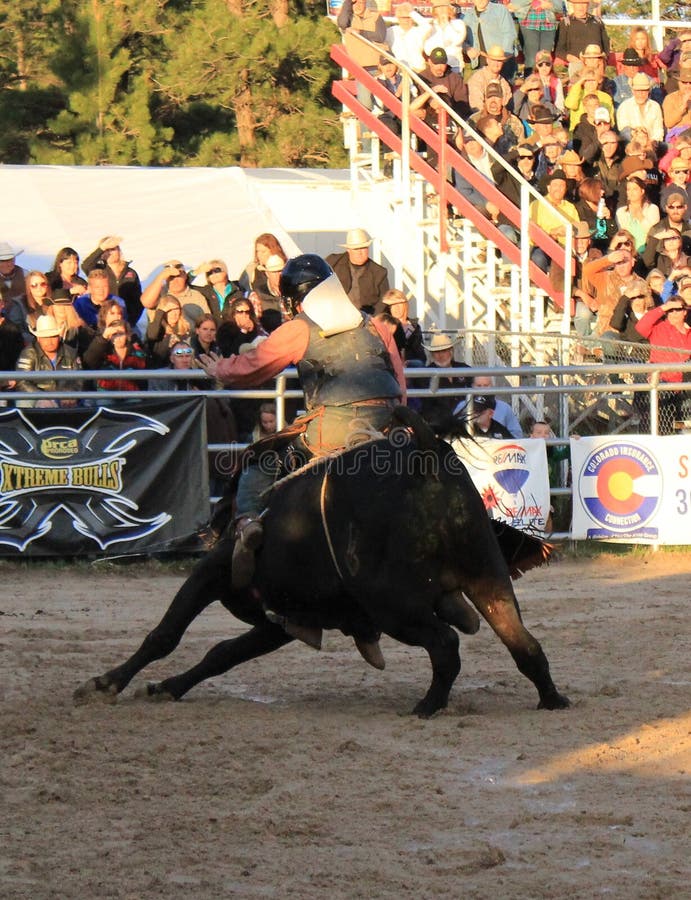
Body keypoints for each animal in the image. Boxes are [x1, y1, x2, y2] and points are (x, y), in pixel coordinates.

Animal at [74, 410, 570, 718]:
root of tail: (427, 455)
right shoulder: (283, 620)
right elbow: (223, 654)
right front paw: (167, 688)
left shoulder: (211, 573)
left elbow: (165, 635)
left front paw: (104, 684)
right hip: (488, 579)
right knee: (524, 645)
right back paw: (552, 699)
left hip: (393, 604)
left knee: (446, 644)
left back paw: (427, 706)